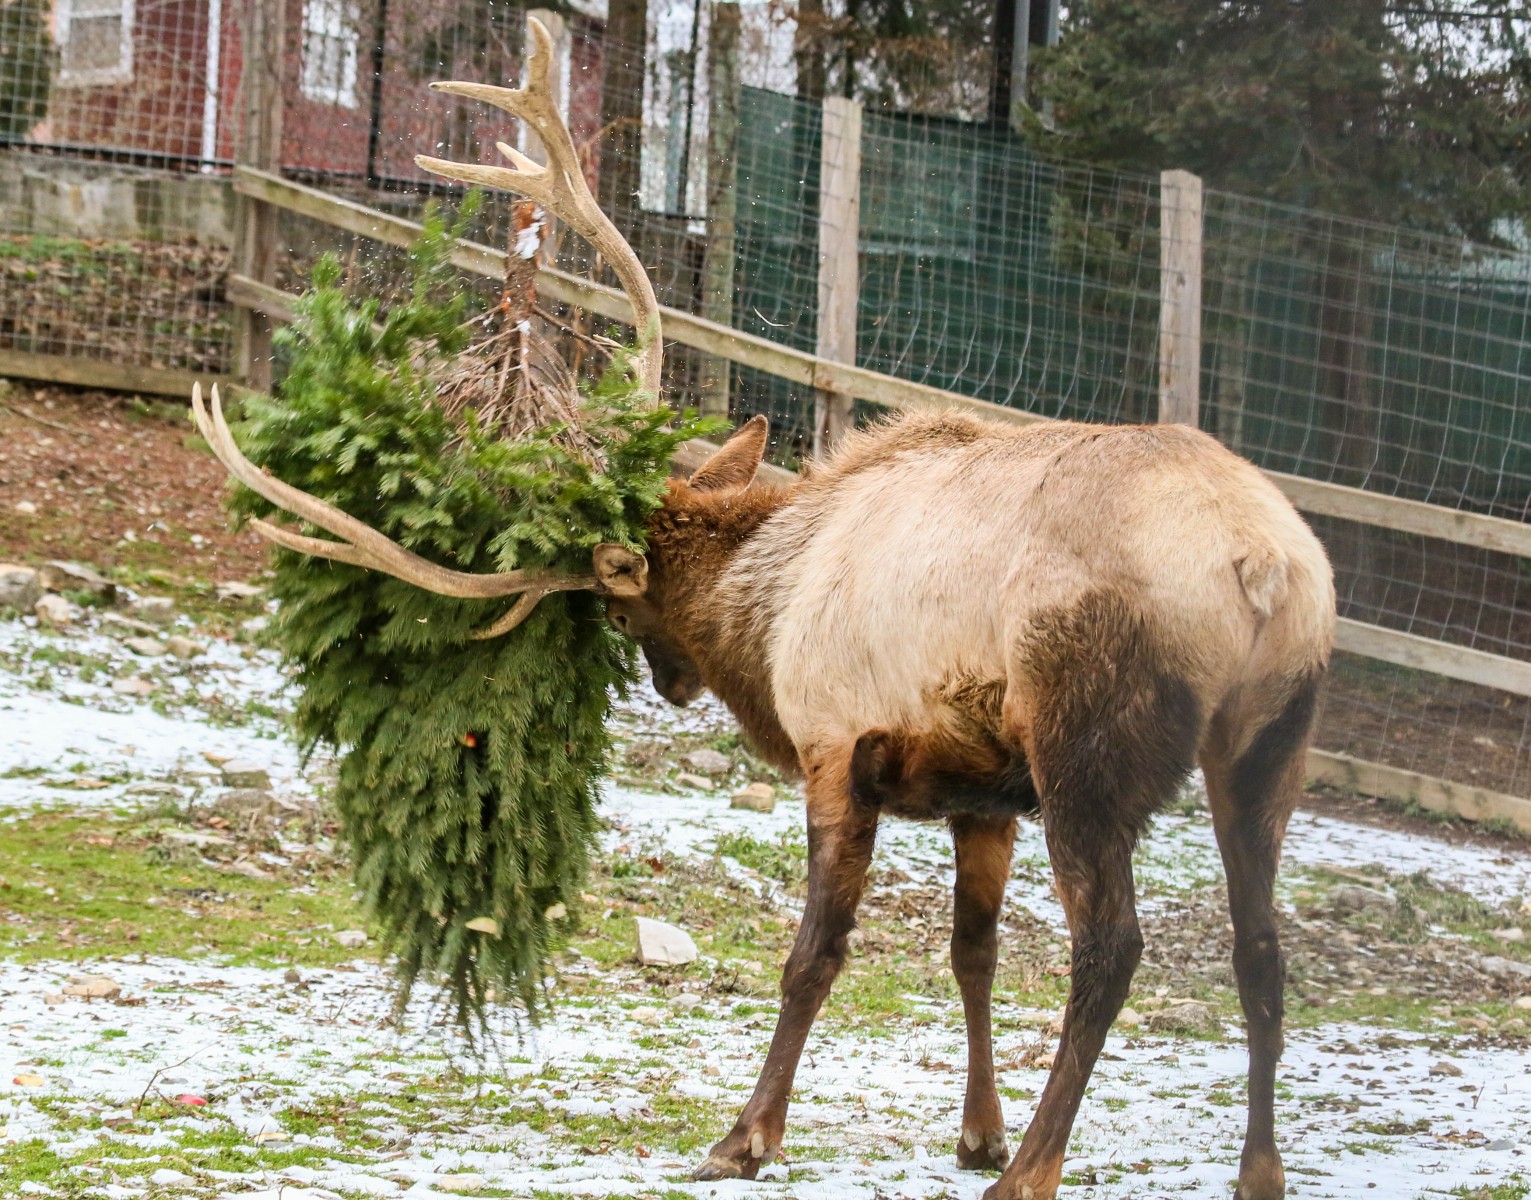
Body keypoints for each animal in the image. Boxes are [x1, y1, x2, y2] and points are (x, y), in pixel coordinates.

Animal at [190, 21, 1335, 1200]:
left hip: (1087, 744)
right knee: (1262, 950)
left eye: (622, 607)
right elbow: (969, 953)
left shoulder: (839, 744)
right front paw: (972, 1129)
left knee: (1113, 948)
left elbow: (812, 954)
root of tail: (1262, 567)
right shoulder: (984, 791)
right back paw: (1255, 1168)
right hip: (1267, 744)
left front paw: (747, 1134)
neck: (766, 601)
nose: (668, 679)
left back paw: (1033, 1170)